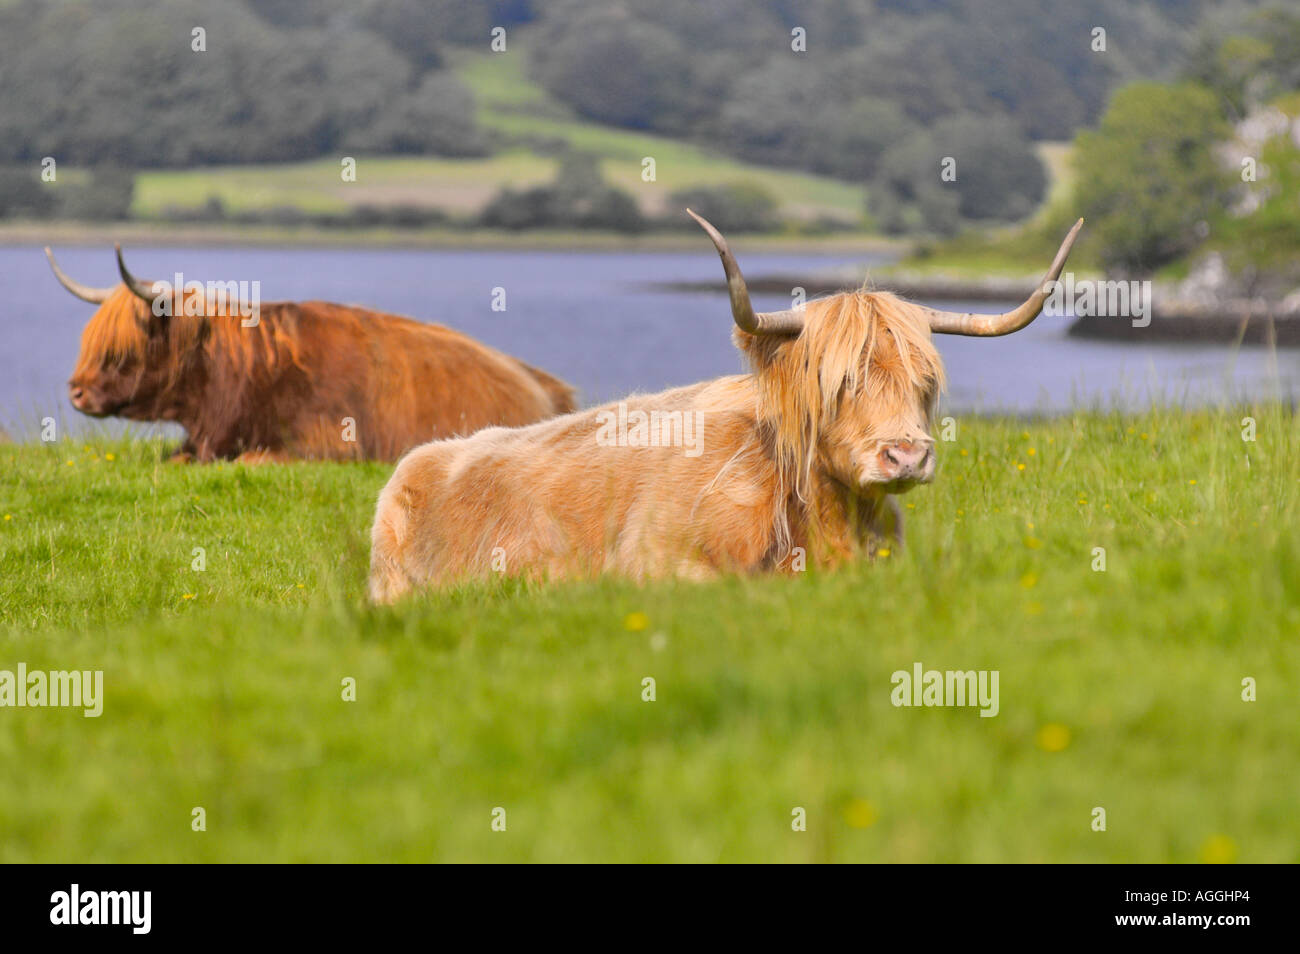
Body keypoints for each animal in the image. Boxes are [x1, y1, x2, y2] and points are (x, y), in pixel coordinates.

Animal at [368, 211, 1082, 601]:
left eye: (925, 383)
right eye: (837, 382)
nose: (905, 455)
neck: (826, 523)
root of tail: (424, 458)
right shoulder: (655, 565)